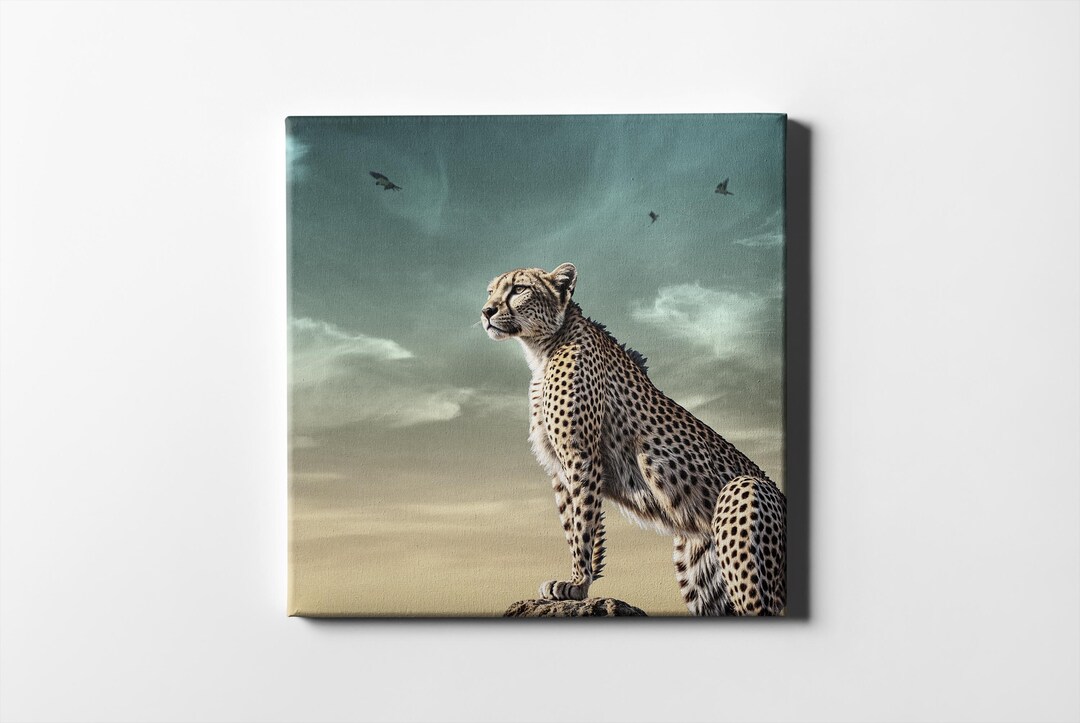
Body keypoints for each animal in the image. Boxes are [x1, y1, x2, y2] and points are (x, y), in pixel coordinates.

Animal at [482, 262, 786, 616]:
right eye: (491, 292)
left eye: (518, 289)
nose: (486, 311)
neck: (544, 346)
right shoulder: (560, 466)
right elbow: (575, 523)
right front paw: (579, 582)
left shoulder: (581, 455)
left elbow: (582, 522)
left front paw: (577, 584)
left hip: (743, 492)